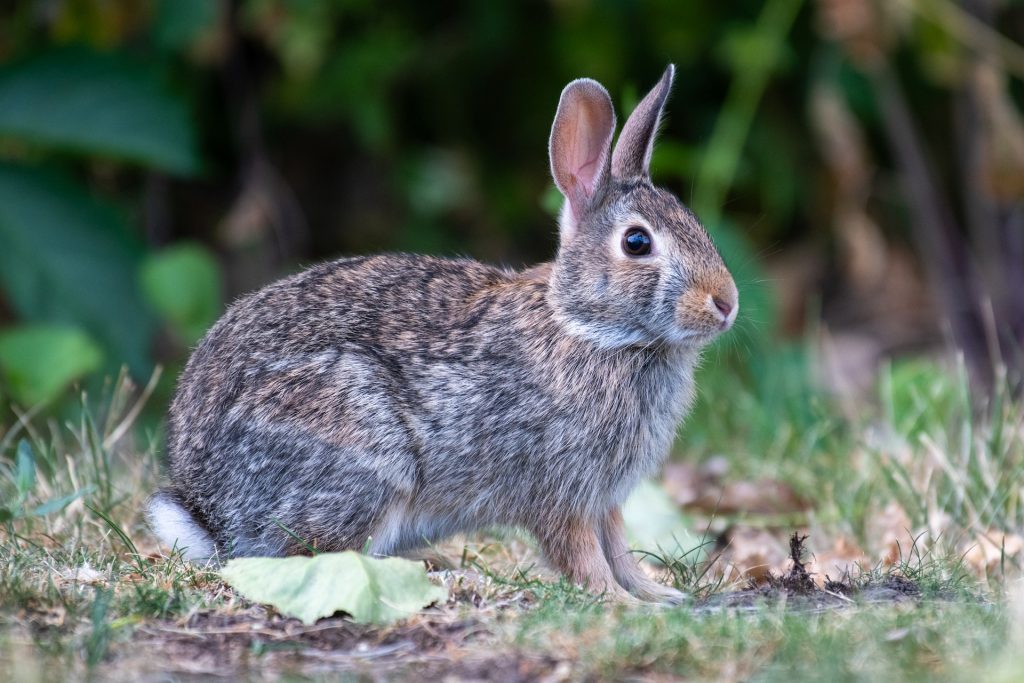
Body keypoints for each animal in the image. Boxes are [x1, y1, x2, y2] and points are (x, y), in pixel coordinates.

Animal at [147, 64, 738, 604]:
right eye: (637, 242)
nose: (727, 303)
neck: (592, 329)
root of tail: (208, 512)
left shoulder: (605, 496)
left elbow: (617, 546)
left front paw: (658, 594)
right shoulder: (559, 487)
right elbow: (581, 553)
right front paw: (617, 602)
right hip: (362, 451)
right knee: (316, 554)